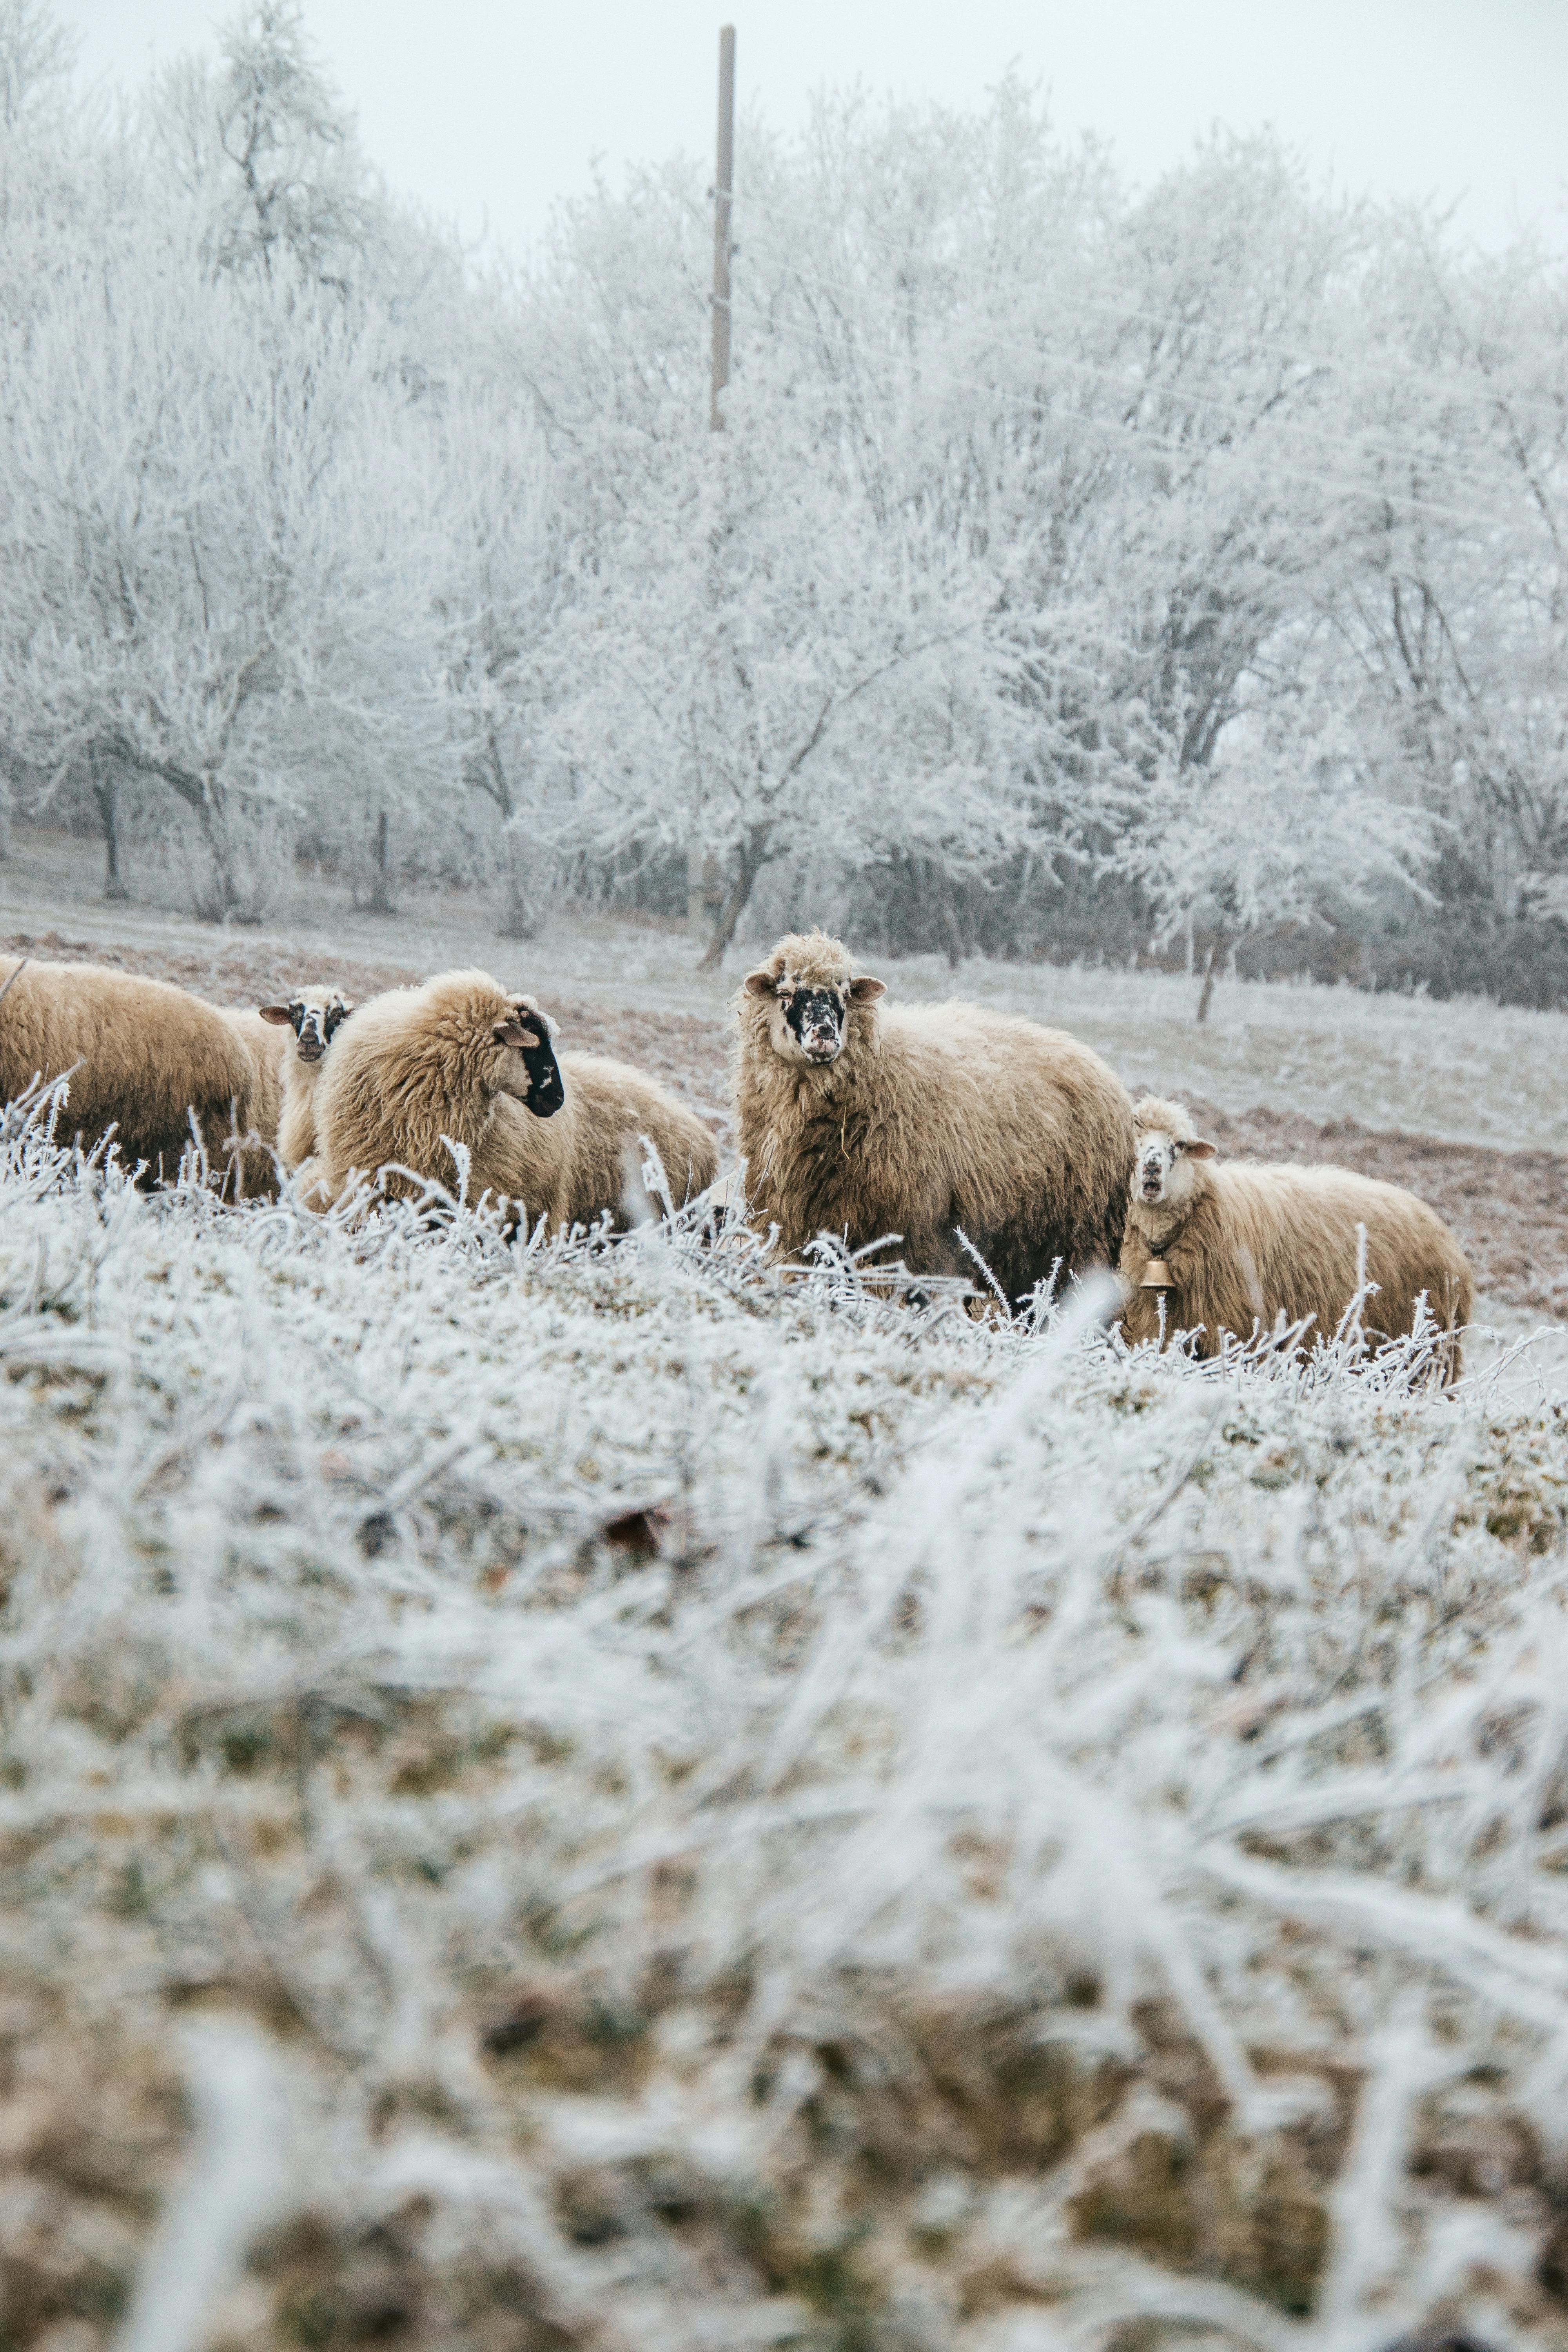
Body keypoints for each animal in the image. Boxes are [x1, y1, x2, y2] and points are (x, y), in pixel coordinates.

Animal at [732, 928, 1135, 1302]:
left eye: (844, 994)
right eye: (785, 994)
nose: (826, 1035)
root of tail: (1100, 1067)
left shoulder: (913, 1241)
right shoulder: (811, 1234)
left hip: (1078, 1244)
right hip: (1026, 1248)